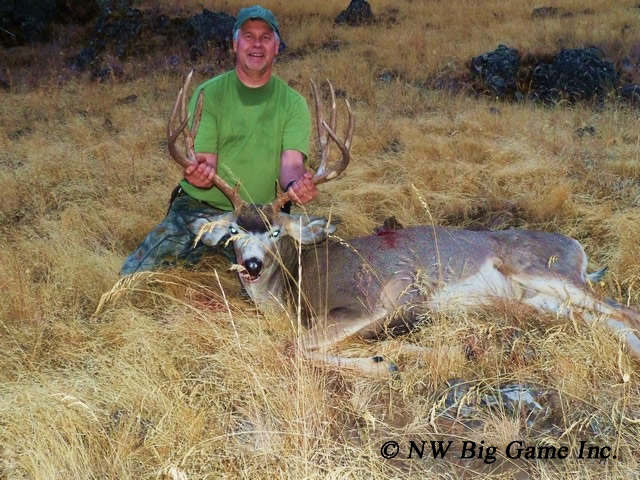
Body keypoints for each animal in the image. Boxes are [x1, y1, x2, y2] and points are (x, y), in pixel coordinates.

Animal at [167, 71, 640, 375]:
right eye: (234, 231)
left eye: (276, 231)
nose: (251, 265)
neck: (293, 284)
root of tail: (579, 250)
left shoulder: (363, 304)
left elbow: (294, 347)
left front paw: (385, 363)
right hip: (543, 301)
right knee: (608, 322)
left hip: (543, 269)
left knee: (625, 310)